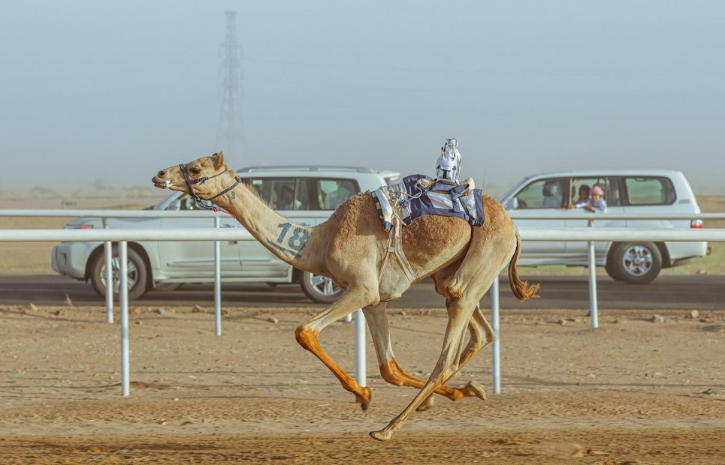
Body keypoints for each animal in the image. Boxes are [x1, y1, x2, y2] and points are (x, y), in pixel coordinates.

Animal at [152, 152, 539, 441]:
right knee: (480, 330)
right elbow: (389, 368)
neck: (318, 242)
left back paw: (388, 429)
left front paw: (363, 396)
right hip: (451, 276)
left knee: (447, 352)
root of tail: (515, 228)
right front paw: (450, 394)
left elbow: (305, 331)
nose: (159, 174)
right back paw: (467, 390)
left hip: (483, 258)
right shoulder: (375, 299)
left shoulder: (362, 287)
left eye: (196, 168)